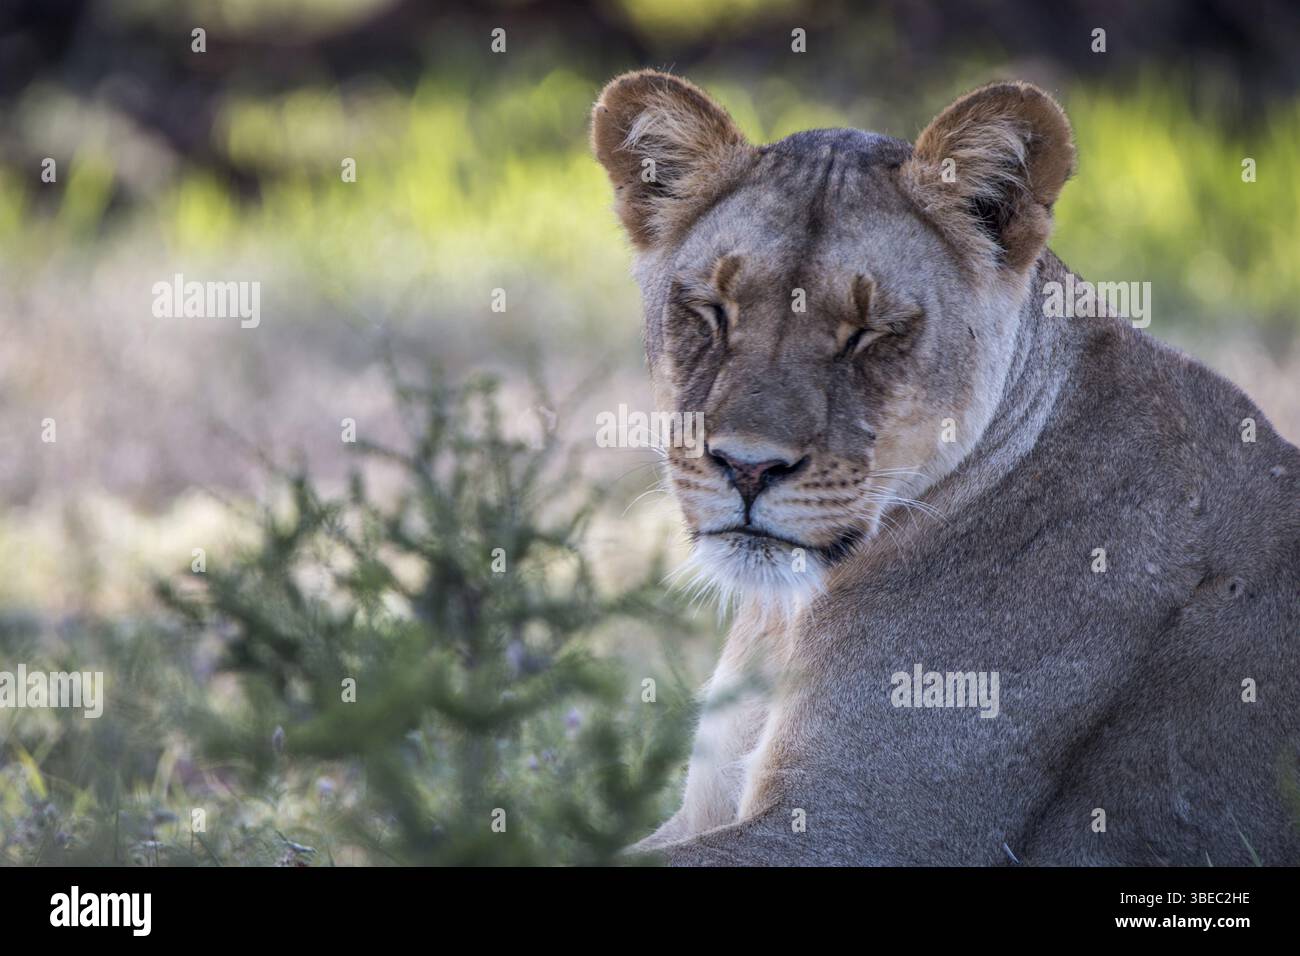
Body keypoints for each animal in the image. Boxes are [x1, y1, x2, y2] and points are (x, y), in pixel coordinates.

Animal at [591, 70, 1300, 865]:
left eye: (870, 333)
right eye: (713, 310)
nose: (747, 468)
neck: (785, 619)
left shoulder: (864, 828)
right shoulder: (709, 809)